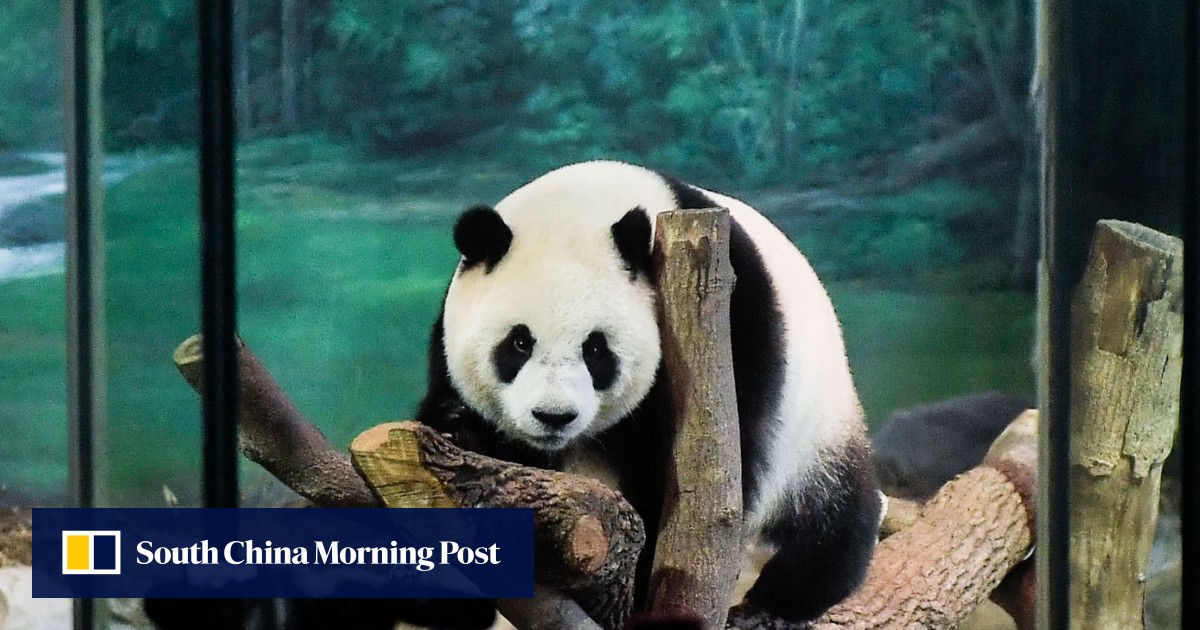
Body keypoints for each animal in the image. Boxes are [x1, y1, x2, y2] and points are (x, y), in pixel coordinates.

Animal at [417, 160, 881, 624]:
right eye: (519, 343)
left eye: (595, 349)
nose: (554, 416)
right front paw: (460, 429)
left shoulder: (729, 329)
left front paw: (638, 585)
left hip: (816, 425)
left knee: (830, 519)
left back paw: (784, 596)